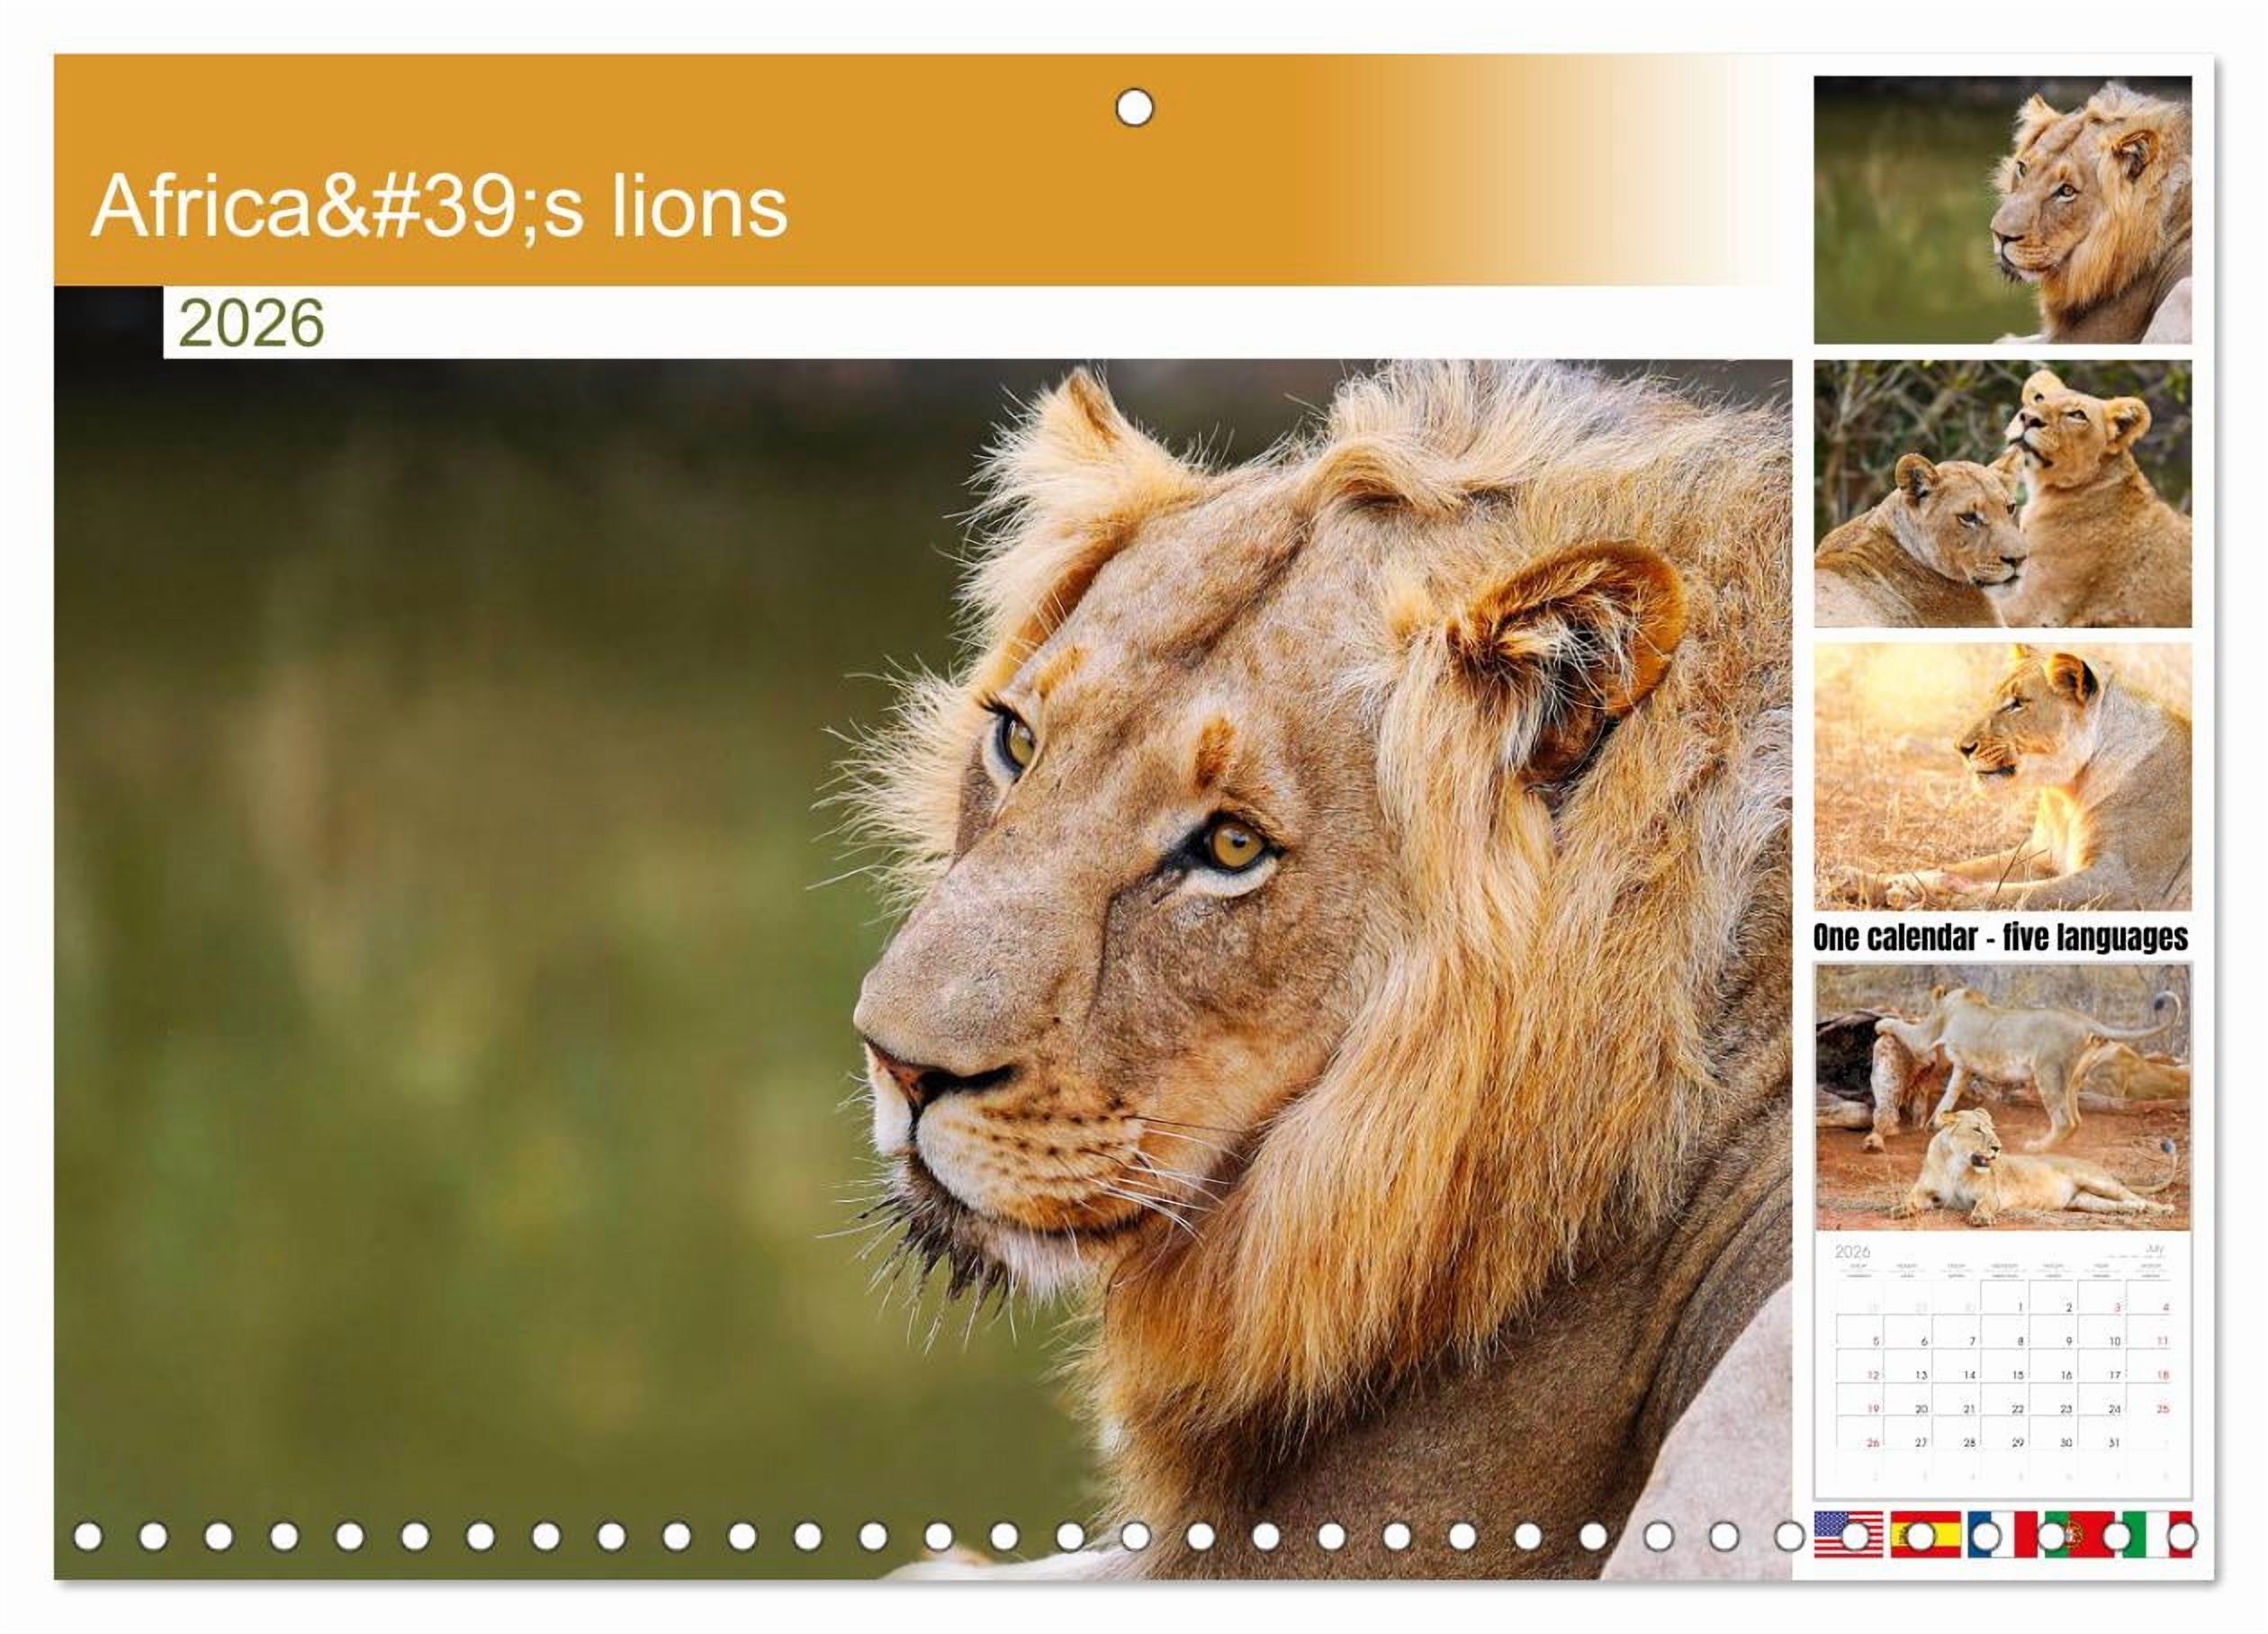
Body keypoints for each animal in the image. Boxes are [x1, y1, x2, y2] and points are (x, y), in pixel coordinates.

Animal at [1833, 646, 2189, 910]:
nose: (1961, 747)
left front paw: (1933, 894)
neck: (2069, 791)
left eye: (2017, 704)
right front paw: (1866, 880)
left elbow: (2023, 894)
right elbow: (1963, 867)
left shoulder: (2127, 883)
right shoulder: (2042, 853)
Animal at [1874, 984, 2180, 1151]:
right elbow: (1949, 1097)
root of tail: (2083, 1020)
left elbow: (1903, 1027)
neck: (1958, 998)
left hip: (2048, 1072)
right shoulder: (1963, 1067)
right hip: (2071, 1080)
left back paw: (2035, 1148)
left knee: (2064, 1120)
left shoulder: (1926, 1036)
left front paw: (1881, 1023)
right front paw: (1936, 1122)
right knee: (2076, 1120)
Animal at [1892, 1109, 2176, 1227]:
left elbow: (1982, 1206)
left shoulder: (1990, 1195)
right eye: (1977, 1129)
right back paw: (2134, 1210)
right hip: (2084, 1200)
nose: (1998, 1147)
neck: (1955, 1162)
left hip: (2097, 1181)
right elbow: (1909, 1198)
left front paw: (1981, 1219)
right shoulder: (1926, 1193)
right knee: (2117, 1204)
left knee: (2133, 1195)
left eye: (1992, 1129)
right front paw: (1899, 1209)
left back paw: (2161, 1209)